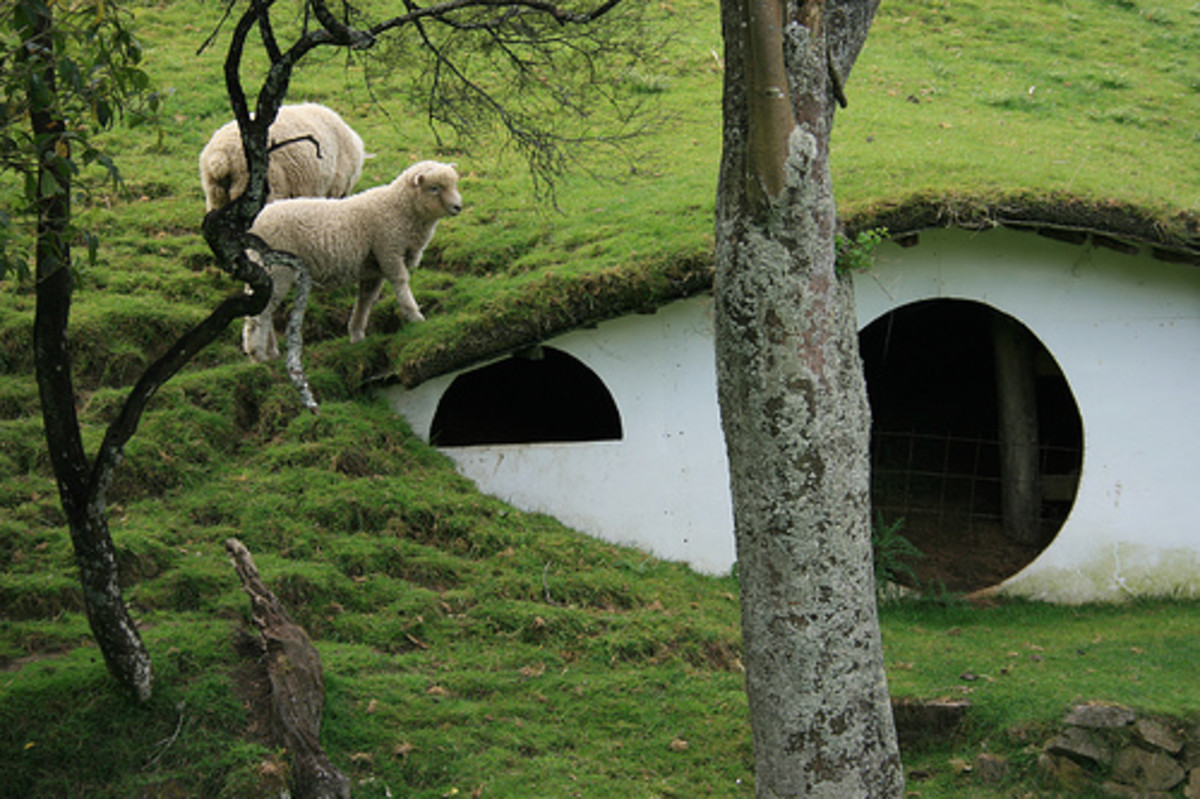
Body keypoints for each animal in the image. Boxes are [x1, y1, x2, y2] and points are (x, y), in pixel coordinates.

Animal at [241, 160, 463, 363]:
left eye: (454, 184)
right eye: (434, 188)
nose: (458, 207)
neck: (399, 209)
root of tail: (253, 225)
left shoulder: (374, 268)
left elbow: (366, 300)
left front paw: (357, 334)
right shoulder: (389, 252)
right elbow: (401, 283)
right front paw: (415, 317)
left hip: (267, 270)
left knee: (265, 309)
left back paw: (270, 352)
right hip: (278, 269)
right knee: (262, 313)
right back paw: (257, 354)